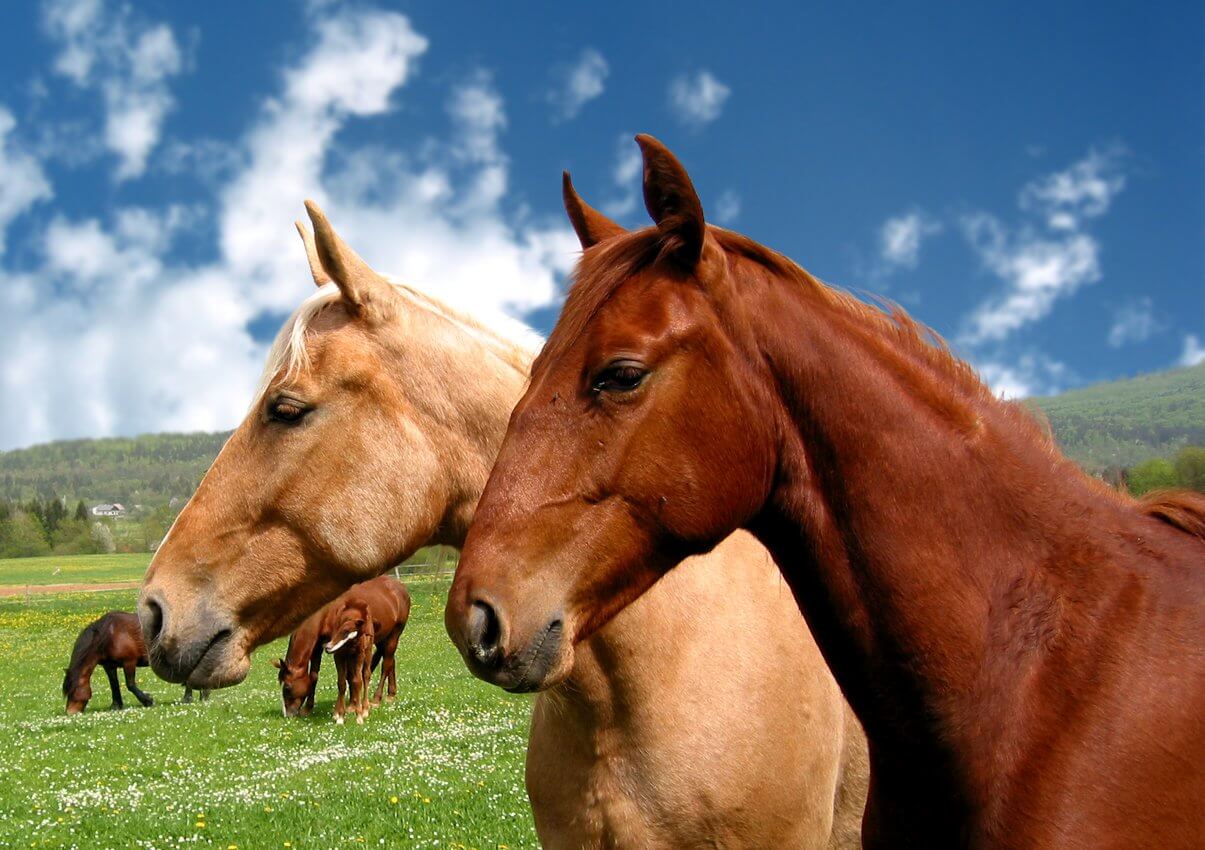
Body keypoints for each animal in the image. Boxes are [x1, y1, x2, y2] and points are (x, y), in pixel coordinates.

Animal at [61, 607, 207, 713]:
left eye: (73, 691)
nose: (70, 713)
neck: (108, 635)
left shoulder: (129, 662)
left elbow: (130, 684)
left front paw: (148, 701)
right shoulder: (109, 666)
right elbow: (114, 685)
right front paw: (116, 705)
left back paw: (192, 697)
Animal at [322, 569, 412, 723]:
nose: (328, 647)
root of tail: (400, 587)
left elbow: (355, 678)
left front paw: (355, 709)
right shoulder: (341, 654)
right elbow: (344, 680)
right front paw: (341, 712)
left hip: (394, 634)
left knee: (385, 664)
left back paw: (376, 699)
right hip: (383, 638)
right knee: (388, 660)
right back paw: (390, 694)